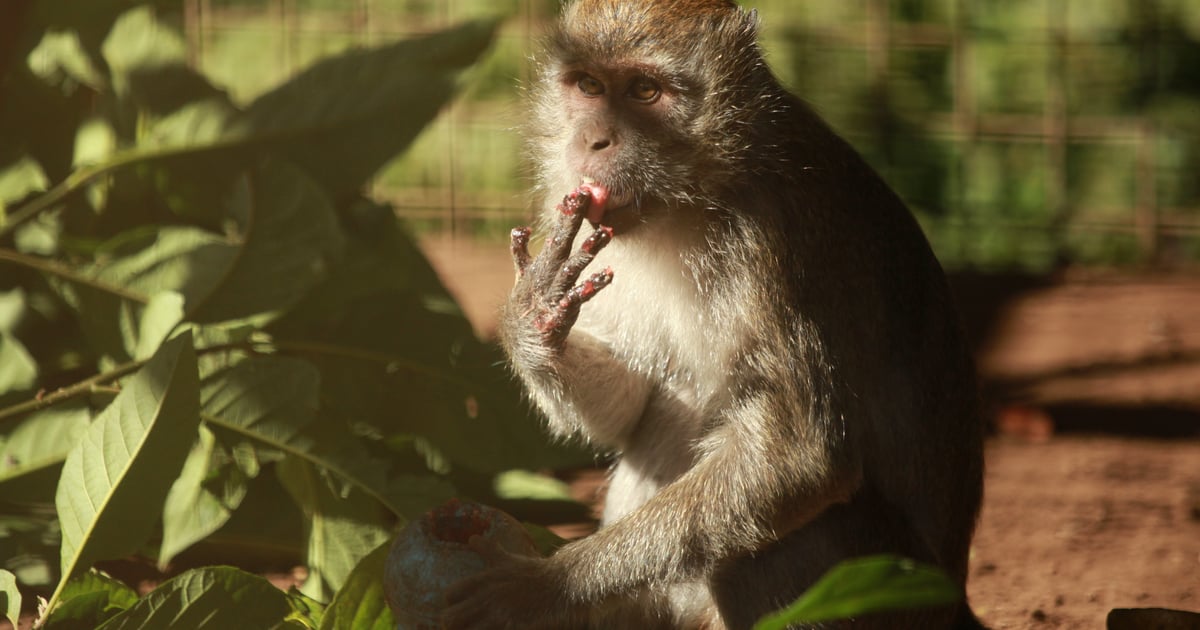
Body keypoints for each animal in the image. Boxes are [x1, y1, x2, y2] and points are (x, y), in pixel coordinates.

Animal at [444, 1, 985, 628]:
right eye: (589, 86)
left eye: (645, 91)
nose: (594, 140)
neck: (698, 195)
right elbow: (631, 409)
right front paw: (534, 319)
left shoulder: (768, 245)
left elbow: (801, 457)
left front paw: (544, 587)